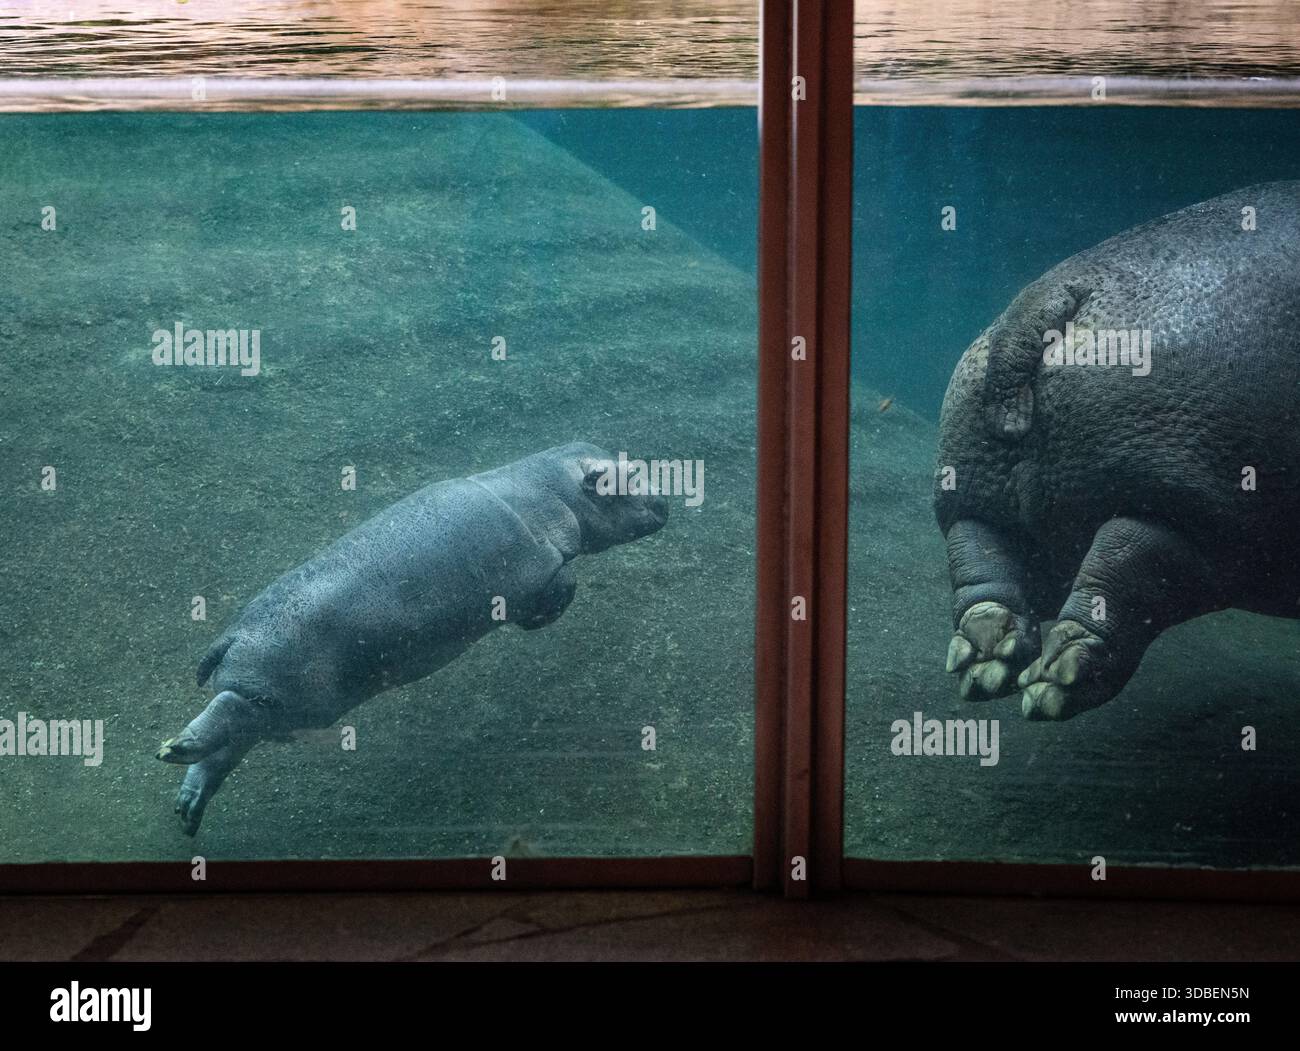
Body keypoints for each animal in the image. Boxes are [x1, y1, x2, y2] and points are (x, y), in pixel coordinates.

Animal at [157, 442, 668, 834]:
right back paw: (176, 748)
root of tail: (230, 636)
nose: (666, 499)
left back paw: (188, 805)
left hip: (279, 708)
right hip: (285, 696)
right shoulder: (539, 571)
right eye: (626, 477)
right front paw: (546, 616)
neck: (548, 489)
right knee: (227, 715)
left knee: (227, 745)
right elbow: (564, 585)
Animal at [936, 182, 1300, 720]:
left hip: (972, 485)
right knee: (1125, 569)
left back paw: (988, 662)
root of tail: (1055, 292)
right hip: (1190, 506)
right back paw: (1058, 683)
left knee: (984, 563)